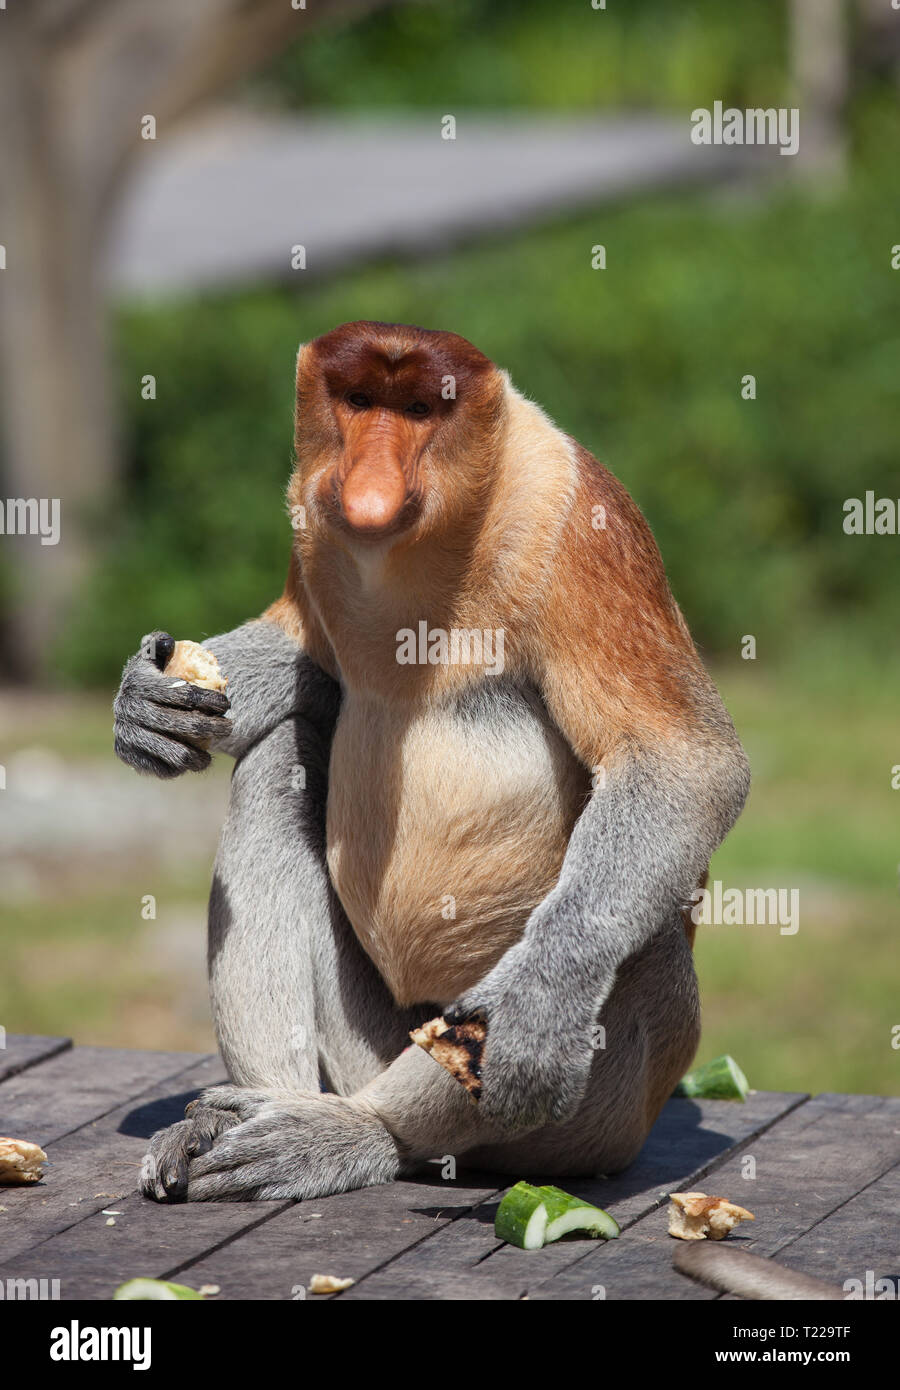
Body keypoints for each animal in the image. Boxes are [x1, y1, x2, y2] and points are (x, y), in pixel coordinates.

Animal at [113, 320, 750, 1203]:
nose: (368, 487)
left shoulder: (578, 519)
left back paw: (353, 1134)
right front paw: (144, 704)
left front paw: (538, 1011)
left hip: (606, 1109)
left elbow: (681, 762)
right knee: (278, 763)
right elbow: (308, 659)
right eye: (358, 401)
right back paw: (240, 1118)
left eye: (418, 409)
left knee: (637, 932)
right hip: (367, 1042)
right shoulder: (310, 520)